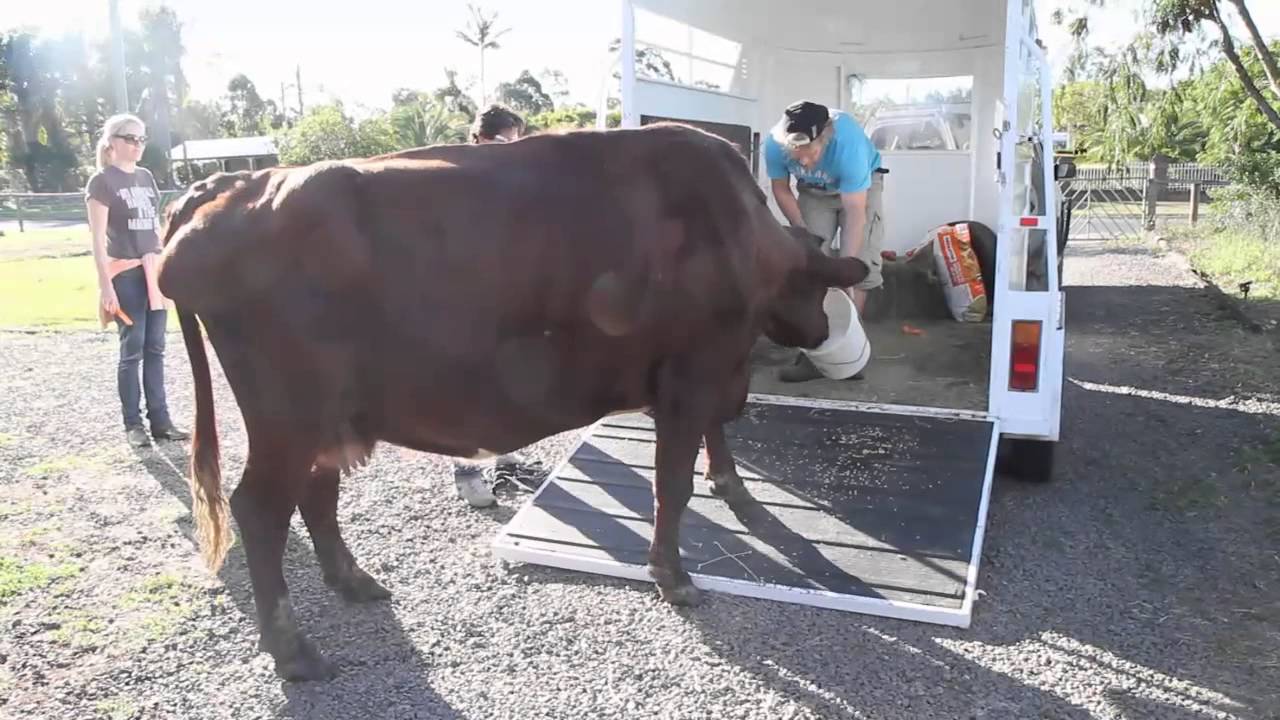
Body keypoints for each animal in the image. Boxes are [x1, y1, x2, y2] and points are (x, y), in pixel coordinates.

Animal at [156, 122, 867, 681]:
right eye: (820, 287)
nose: (823, 332)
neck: (737, 233)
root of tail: (231, 184)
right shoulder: (690, 379)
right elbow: (673, 484)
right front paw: (673, 575)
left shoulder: (710, 374)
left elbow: (714, 444)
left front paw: (731, 486)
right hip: (288, 417)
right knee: (260, 509)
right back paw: (294, 652)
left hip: (327, 419)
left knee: (317, 491)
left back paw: (353, 582)